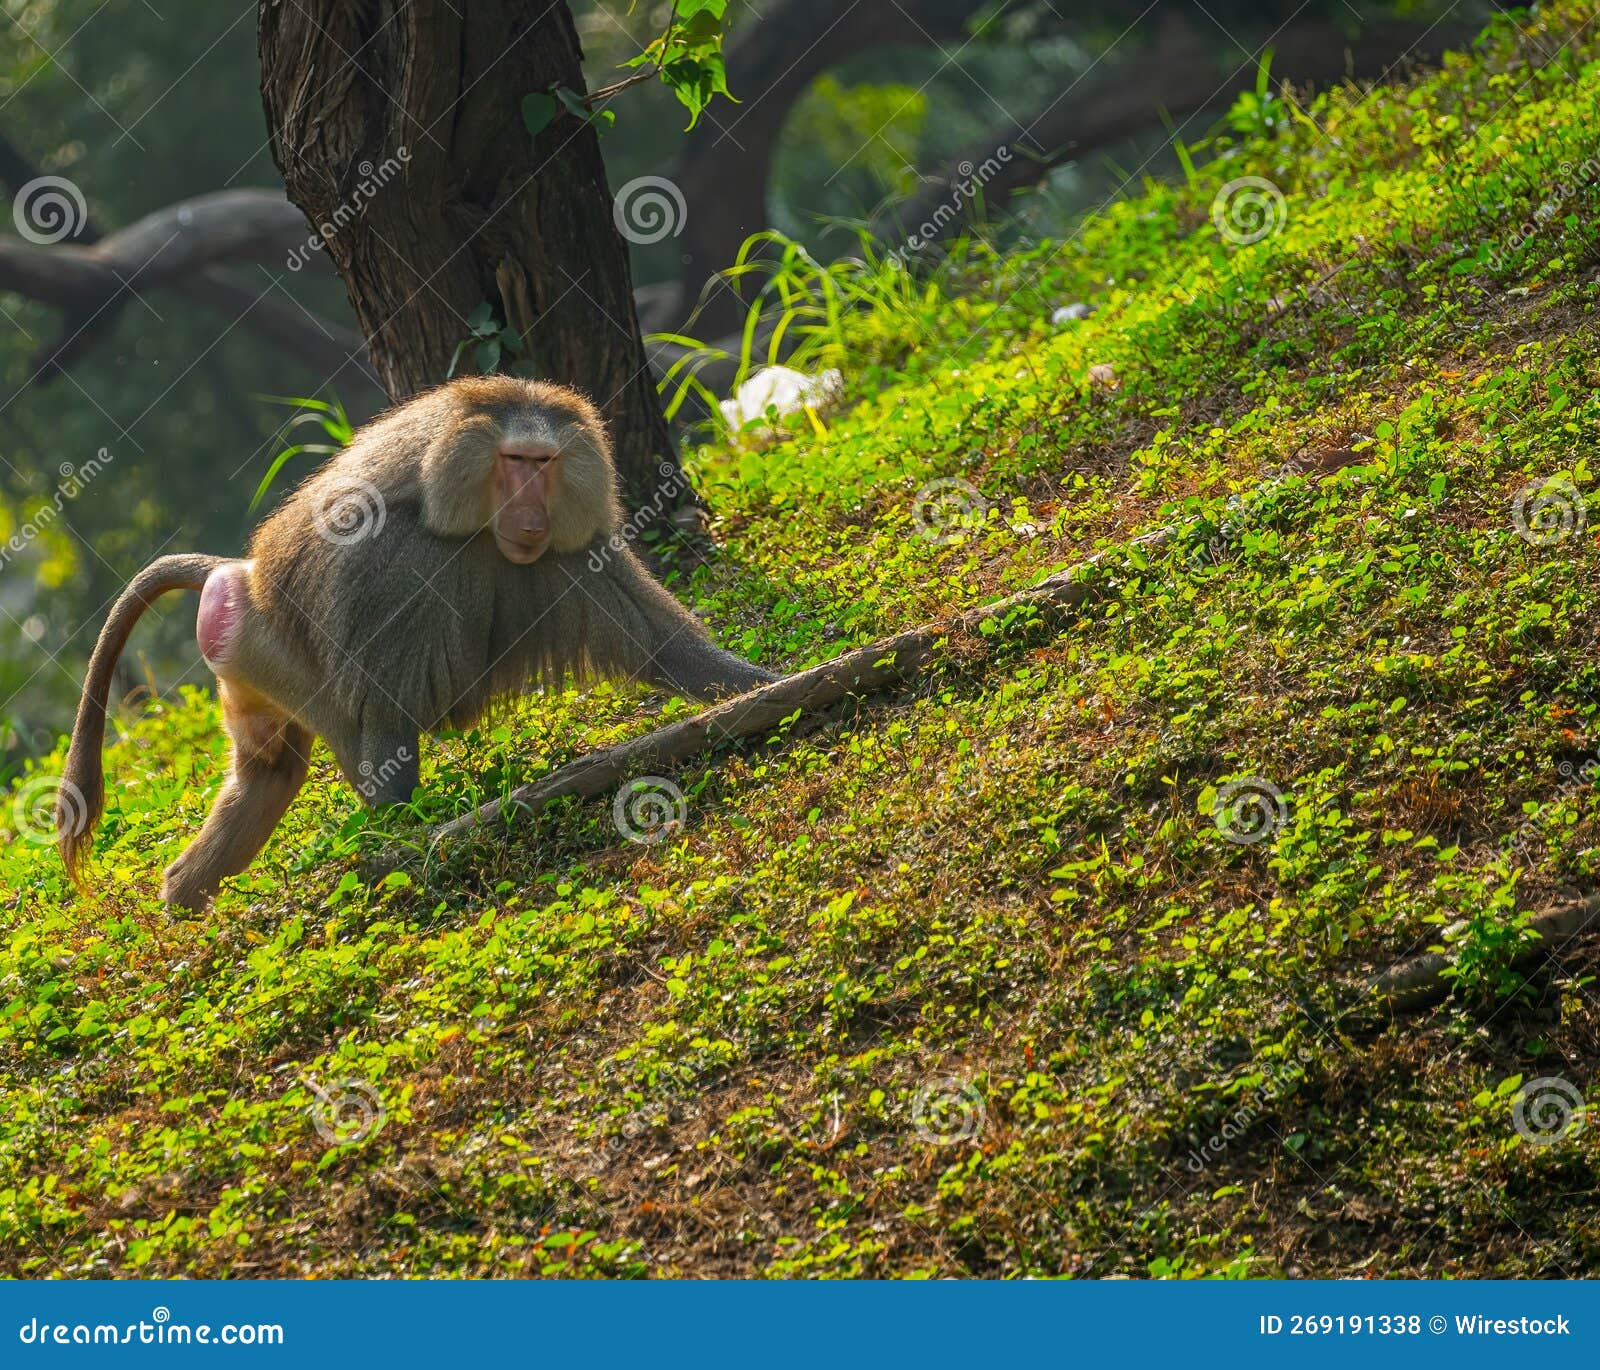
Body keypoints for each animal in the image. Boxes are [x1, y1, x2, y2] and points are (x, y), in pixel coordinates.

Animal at [57, 376, 777, 911]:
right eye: (514, 463)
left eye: (544, 465)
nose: (530, 516)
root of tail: (241, 575)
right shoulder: (406, 564)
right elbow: (386, 721)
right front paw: (410, 842)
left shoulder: (577, 548)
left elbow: (664, 648)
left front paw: (764, 687)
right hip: (273, 653)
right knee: (340, 738)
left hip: (244, 664)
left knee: (270, 772)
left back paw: (184, 907)